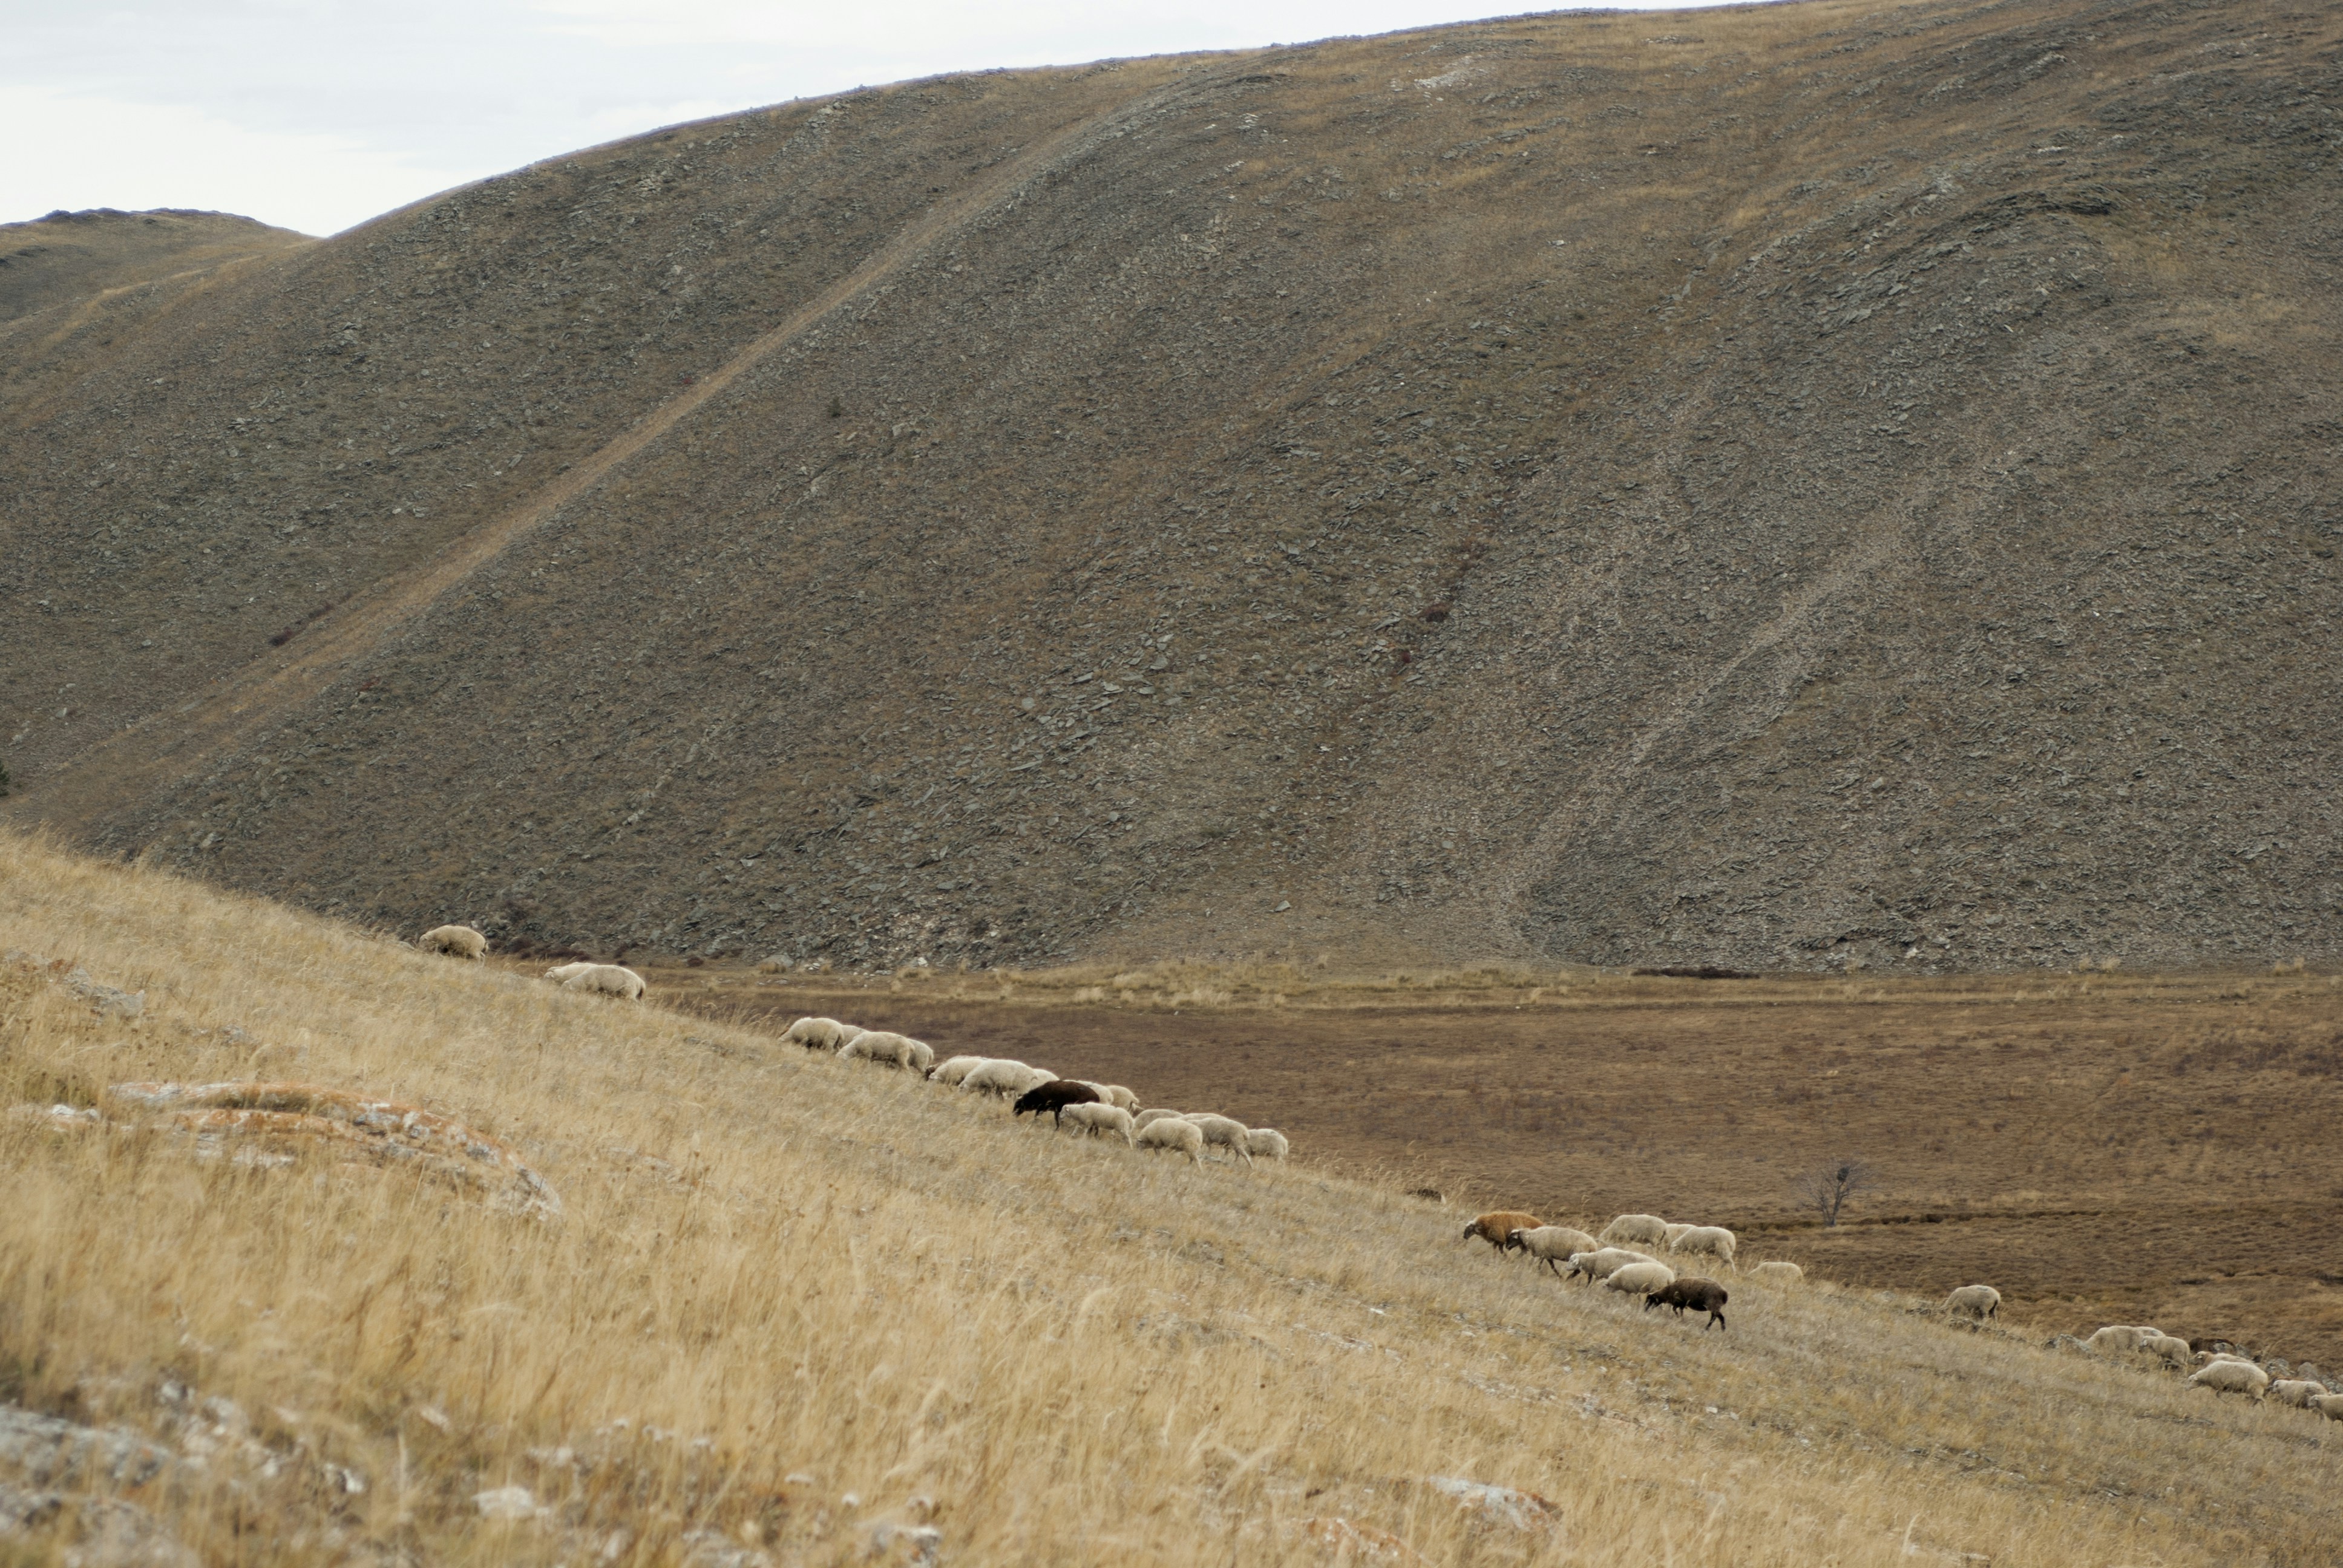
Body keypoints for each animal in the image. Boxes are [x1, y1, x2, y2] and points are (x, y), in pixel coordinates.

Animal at [1013, 1080, 1102, 1125]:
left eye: (1018, 1105)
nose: (1013, 1114)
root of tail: (1097, 1096)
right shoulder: (1055, 1110)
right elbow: (1058, 1119)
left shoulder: (1046, 1108)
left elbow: (1037, 1116)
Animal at [1461, 1211, 1544, 1253]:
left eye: (1470, 1228)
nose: (1464, 1237)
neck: (1488, 1223)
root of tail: (1542, 1224)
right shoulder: (1497, 1240)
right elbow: (1495, 1248)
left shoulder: (1500, 1238)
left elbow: (1500, 1249)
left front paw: (1504, 1257)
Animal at [1504, 1226, 1599, 1279]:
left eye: (1512, 1238)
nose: (1507, 1247)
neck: (1531, 1237)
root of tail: (1593, 1246)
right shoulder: (1545, 1255)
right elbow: (1550, 1266)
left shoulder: (1542, 1253)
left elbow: (1547, 1266)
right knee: (1588, 1273)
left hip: (1578, 1255)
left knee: (1577, 1271)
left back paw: (1568, 1279)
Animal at [1645, 1277, 1729, 1330]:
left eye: (1650, 1300)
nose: (1645, 1310)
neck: (1668, 1292)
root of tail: (1725, 1293)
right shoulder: (1681, 1304)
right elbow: (1680, 1311)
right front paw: (1681, 1319)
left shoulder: (1679, 1302)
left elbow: (1675, 1310)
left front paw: (1679, 1318)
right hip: (1714, 1306)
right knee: (1714, 1317)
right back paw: (1708, 1328)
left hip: (1713, 1305)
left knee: (1720, 1317)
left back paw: (1721, 1329)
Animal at [2188, 1360, 2270, 1400]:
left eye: (2190, 1381)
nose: (2186, 1388)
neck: (2207, 1374)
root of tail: (2265, 1377)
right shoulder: (2222, 1388)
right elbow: (2218, 1395)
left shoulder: (2220, 1386)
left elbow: (2218, 1396)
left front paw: (2225, 1402)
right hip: (2254, 1391)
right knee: (2257, 1400)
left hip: (2256, 1389)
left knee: (2261, 1401)